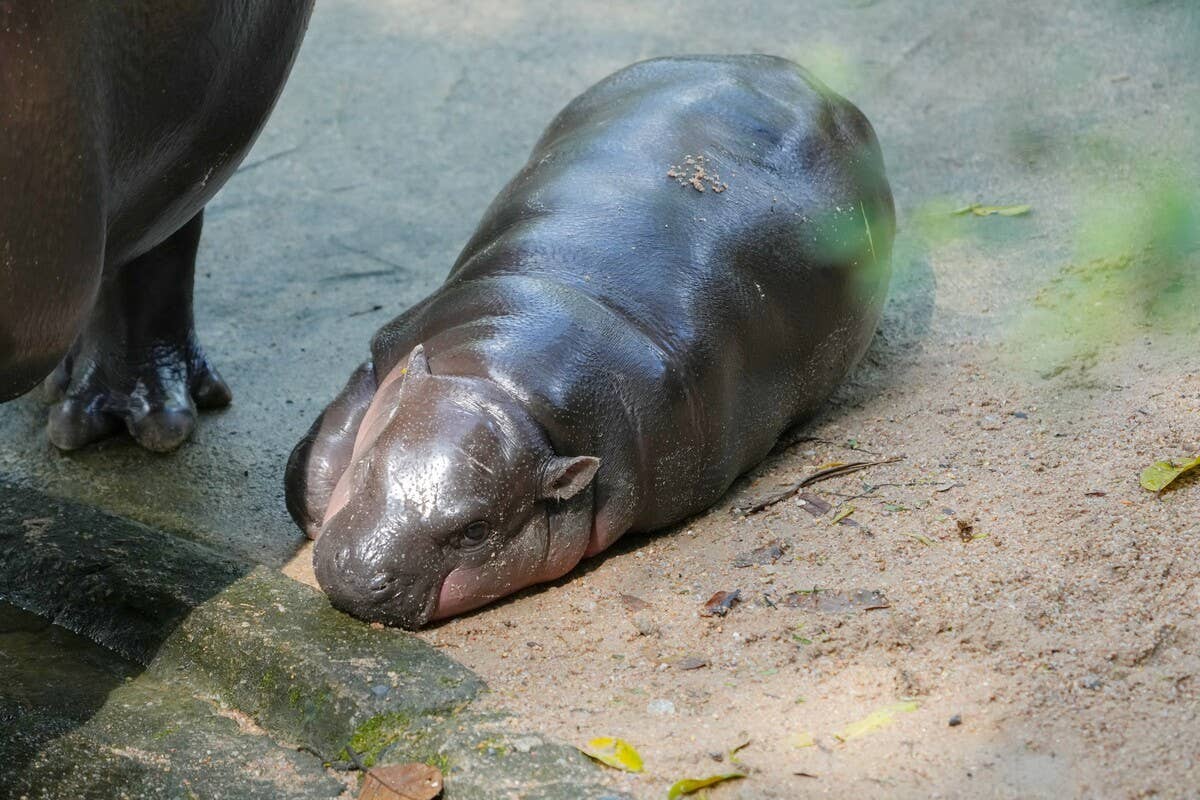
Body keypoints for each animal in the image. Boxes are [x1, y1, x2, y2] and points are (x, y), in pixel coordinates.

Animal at [286, 55, 895, 629]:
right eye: (370, 465)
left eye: (476, 531)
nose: (360, 577)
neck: (504, 388)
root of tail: (801, 75)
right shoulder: (389, 348)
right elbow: (327, 447)